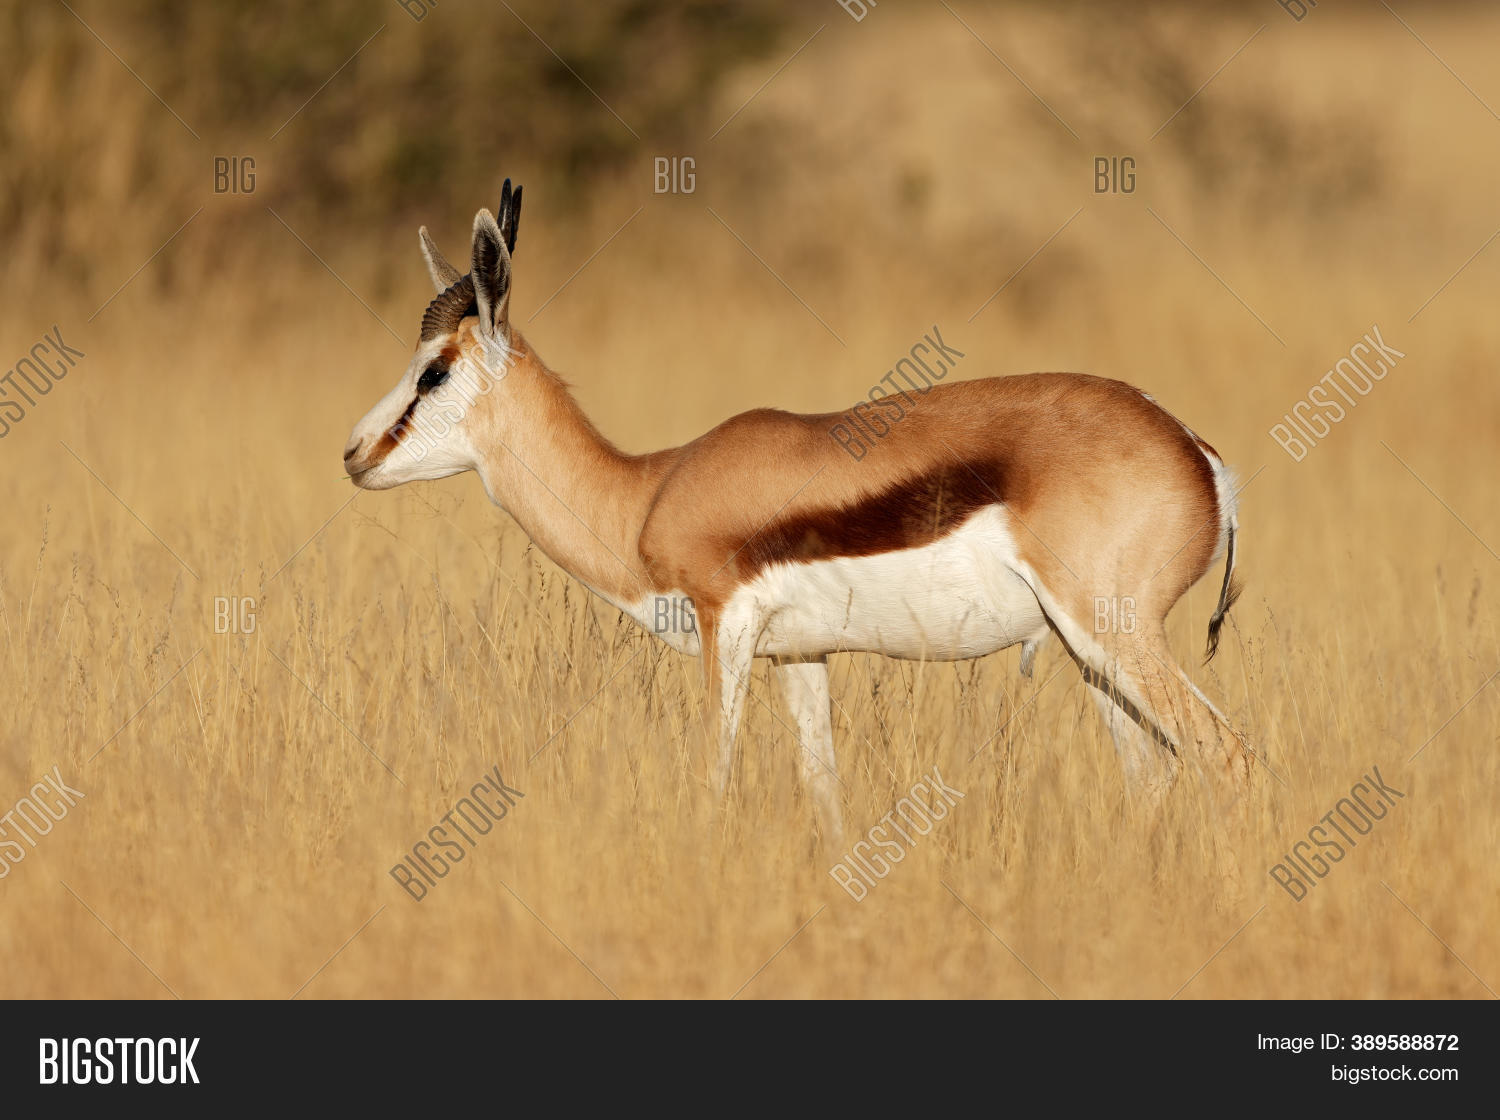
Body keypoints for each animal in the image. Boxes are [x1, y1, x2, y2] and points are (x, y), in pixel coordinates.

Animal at [343, 180, 1253, 844]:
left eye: (433, 370)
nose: (354, 453)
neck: (647, 491)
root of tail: (1201, 455)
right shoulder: (800, 656)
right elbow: (825, 791)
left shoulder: (727, 630)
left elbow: (714, 778)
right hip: (1088, 655)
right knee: (1153, 776)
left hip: (1111, 633)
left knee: (1225, 753)